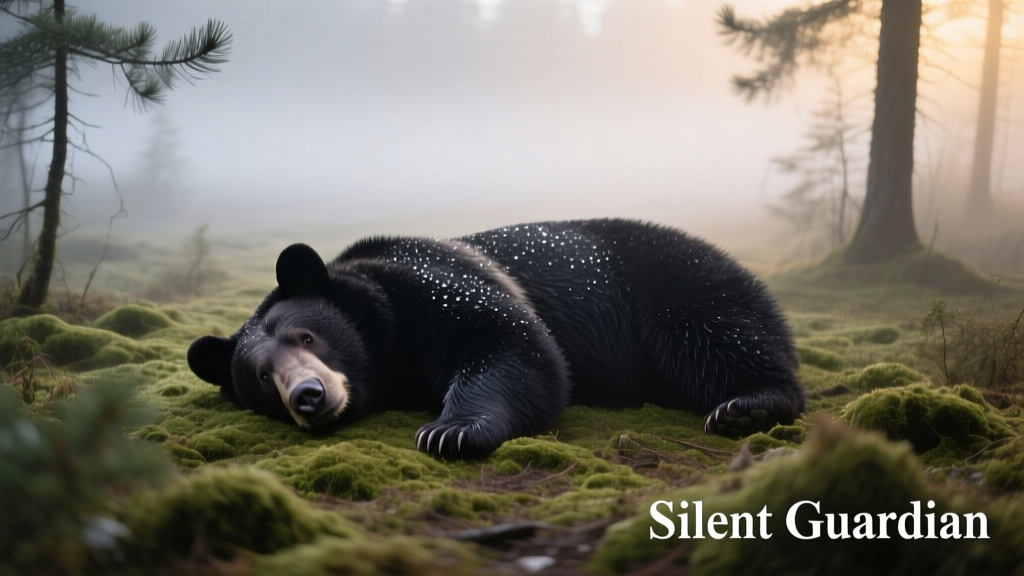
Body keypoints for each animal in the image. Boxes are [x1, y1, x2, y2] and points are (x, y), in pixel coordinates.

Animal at [187, 219, 804, 459]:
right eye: (262, 377)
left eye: (308, 336)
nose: (308, 397)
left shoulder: (434, 288)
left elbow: (513, 345)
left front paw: (449, 431)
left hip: (675, 280)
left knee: (717, 330)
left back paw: (747, 406)